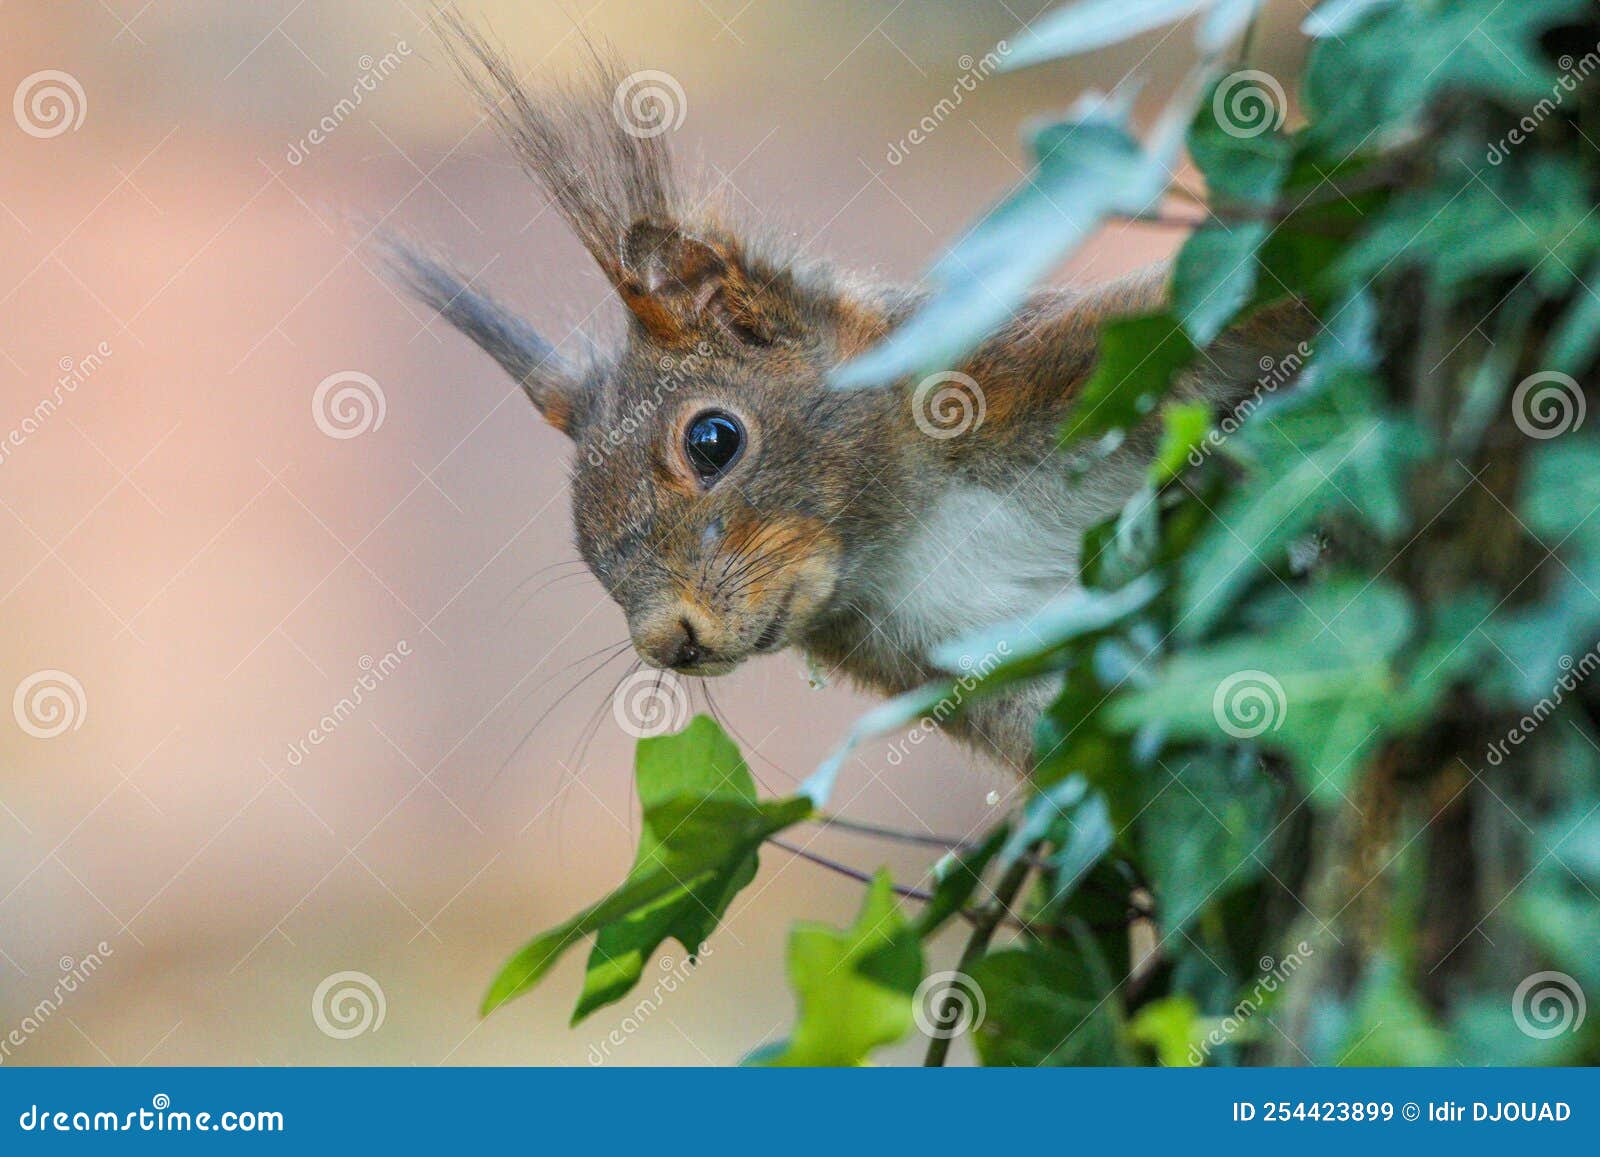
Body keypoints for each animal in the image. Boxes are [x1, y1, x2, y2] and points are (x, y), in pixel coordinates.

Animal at [388, 16, 1298, 777]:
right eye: (580, 540)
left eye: (712, 441)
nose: (668, 643)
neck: (900, 538)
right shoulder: (964, 662)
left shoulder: (1042, 365)